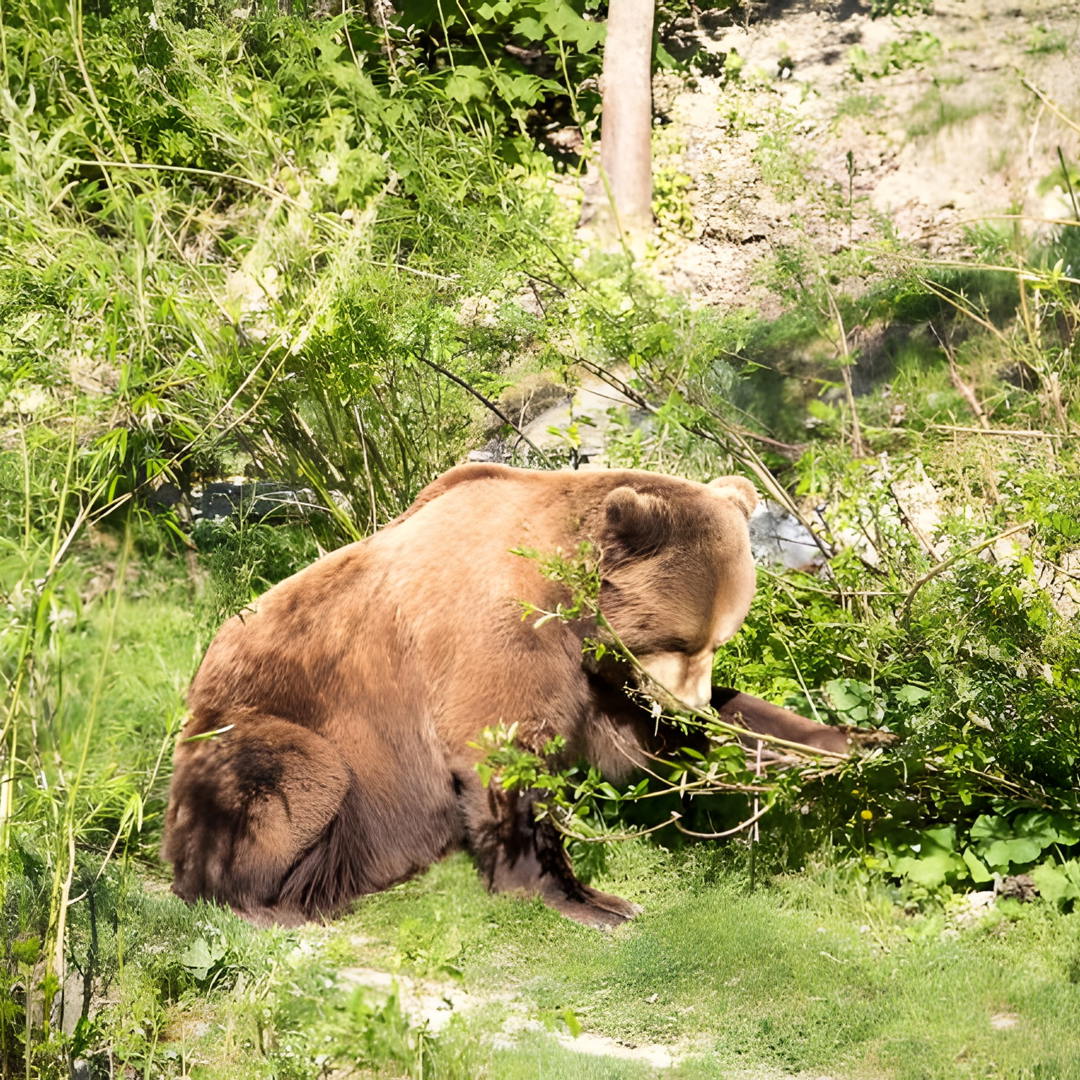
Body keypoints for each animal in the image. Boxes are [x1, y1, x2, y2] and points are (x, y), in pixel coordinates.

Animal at [163, 463, 854, 929]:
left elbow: (650, 741)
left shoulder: (597, 679)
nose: (689, 702)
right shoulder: (497, 636)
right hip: (261, 723)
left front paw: (837, 743)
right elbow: (506, 752)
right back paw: (263, 902)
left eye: (719, 638)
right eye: (680, 640)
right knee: (293, 778)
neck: (567, 607)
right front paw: (591, 899)